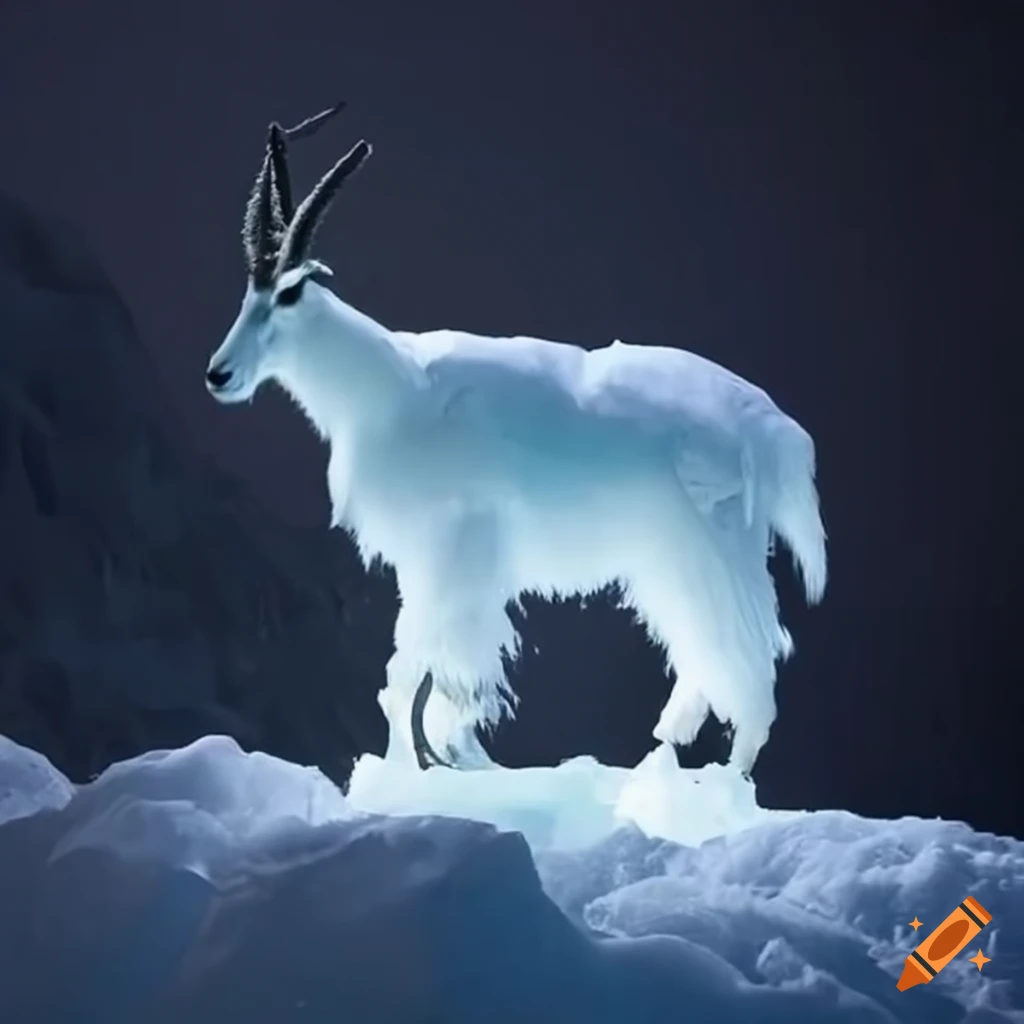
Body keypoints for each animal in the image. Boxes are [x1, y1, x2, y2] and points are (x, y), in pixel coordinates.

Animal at [205, 105, 827, 775]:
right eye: (248, 293)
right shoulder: (434, 571)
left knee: (748, 665)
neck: (392, 390)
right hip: (675, 563)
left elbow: (418, 676)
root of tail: (769, 427)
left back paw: (723, 779)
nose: (219, 375)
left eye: (290, 293)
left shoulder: (454, 558)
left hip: (717, 552)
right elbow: (424, 679)